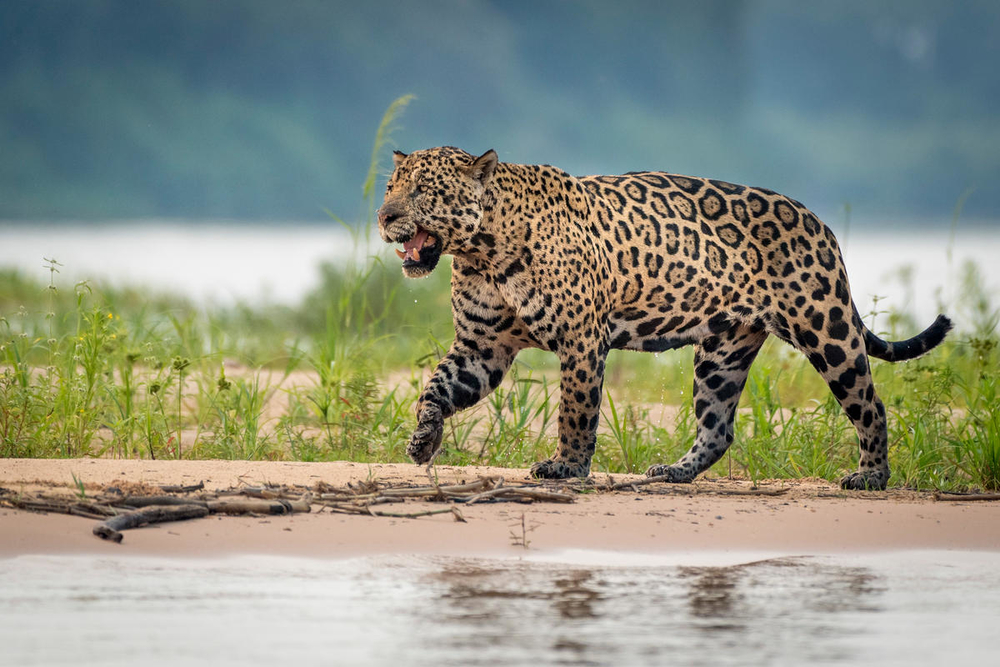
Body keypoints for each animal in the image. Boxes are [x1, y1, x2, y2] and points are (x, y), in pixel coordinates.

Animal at [377, 146, 952, 490]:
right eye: (390, 187)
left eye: (423, 192)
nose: (384, 217)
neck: (483, 251)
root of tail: (821, 223)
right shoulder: (482, 347)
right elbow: (436, 388)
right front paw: (422, 441)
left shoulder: (581, 340)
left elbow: (575, 410)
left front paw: (567, 467)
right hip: (722, 354)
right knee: (719, 427)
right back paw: (674, 472)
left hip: (827, 329)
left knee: (872, 405)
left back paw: (871, 476)